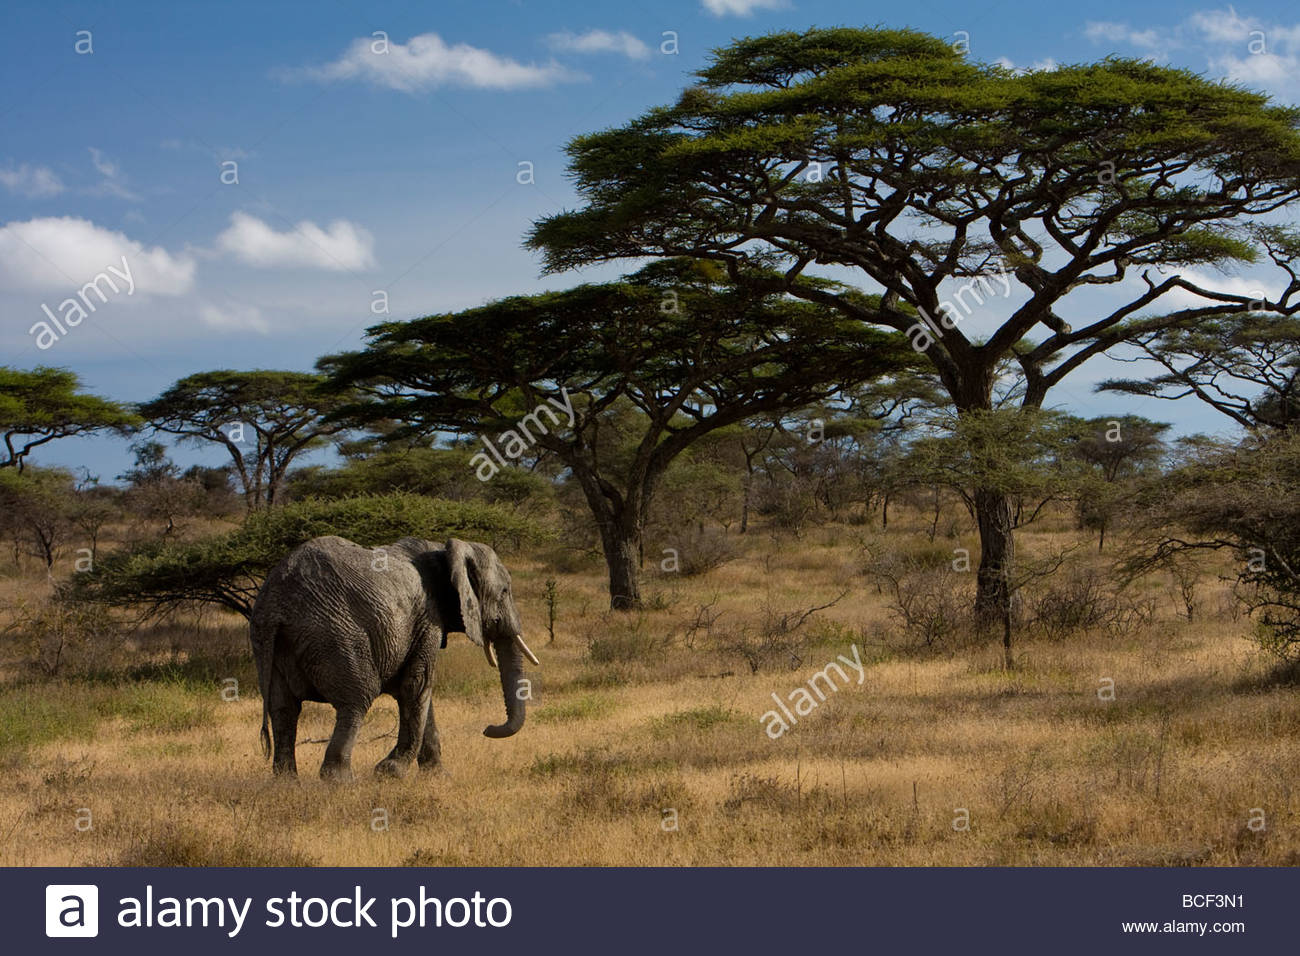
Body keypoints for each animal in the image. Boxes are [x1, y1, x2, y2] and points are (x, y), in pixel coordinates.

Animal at [248, 535, 539, 779]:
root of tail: (277, 602)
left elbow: (423, 695)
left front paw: (437, 777)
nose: (488, 728)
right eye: (504, 592)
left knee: (283, 708)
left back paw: (286, 783)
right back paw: (339, 781)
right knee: (357, 699)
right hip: (335, 633)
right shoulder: (428, 619)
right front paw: (390, 772)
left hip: (265, 639)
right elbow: (416, 686)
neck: (443, 549)